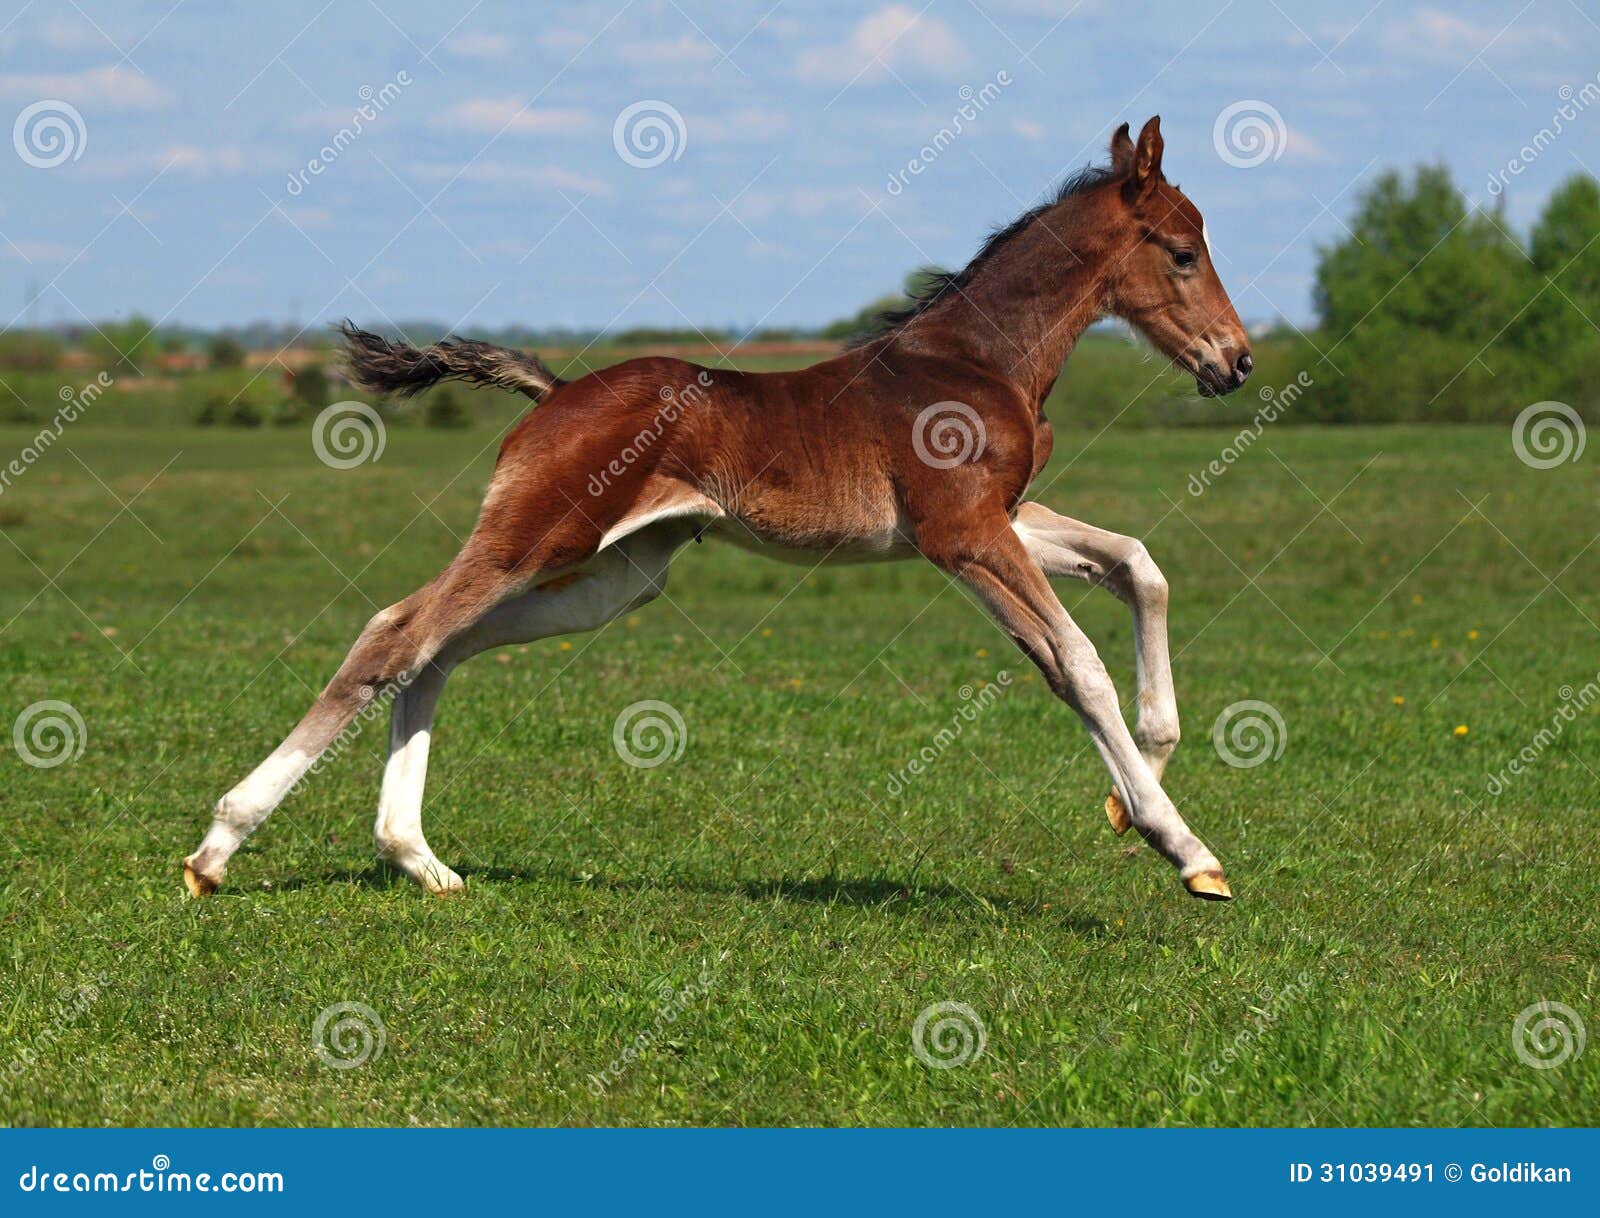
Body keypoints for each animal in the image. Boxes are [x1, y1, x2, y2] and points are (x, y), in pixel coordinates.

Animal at [183, 116, 1253, 903]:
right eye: (1184, 250)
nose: (1236, 361)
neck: (976, 360)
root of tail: (555, 392)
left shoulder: (991, 519)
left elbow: (1137, 563)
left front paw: (1141, 777)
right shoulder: (962, 534)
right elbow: (1073, 662)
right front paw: (1182, 846)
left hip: (610, 576)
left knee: (436, 648)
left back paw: (417, 858)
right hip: (536, 536)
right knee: (394, 631)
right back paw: (219, 847)